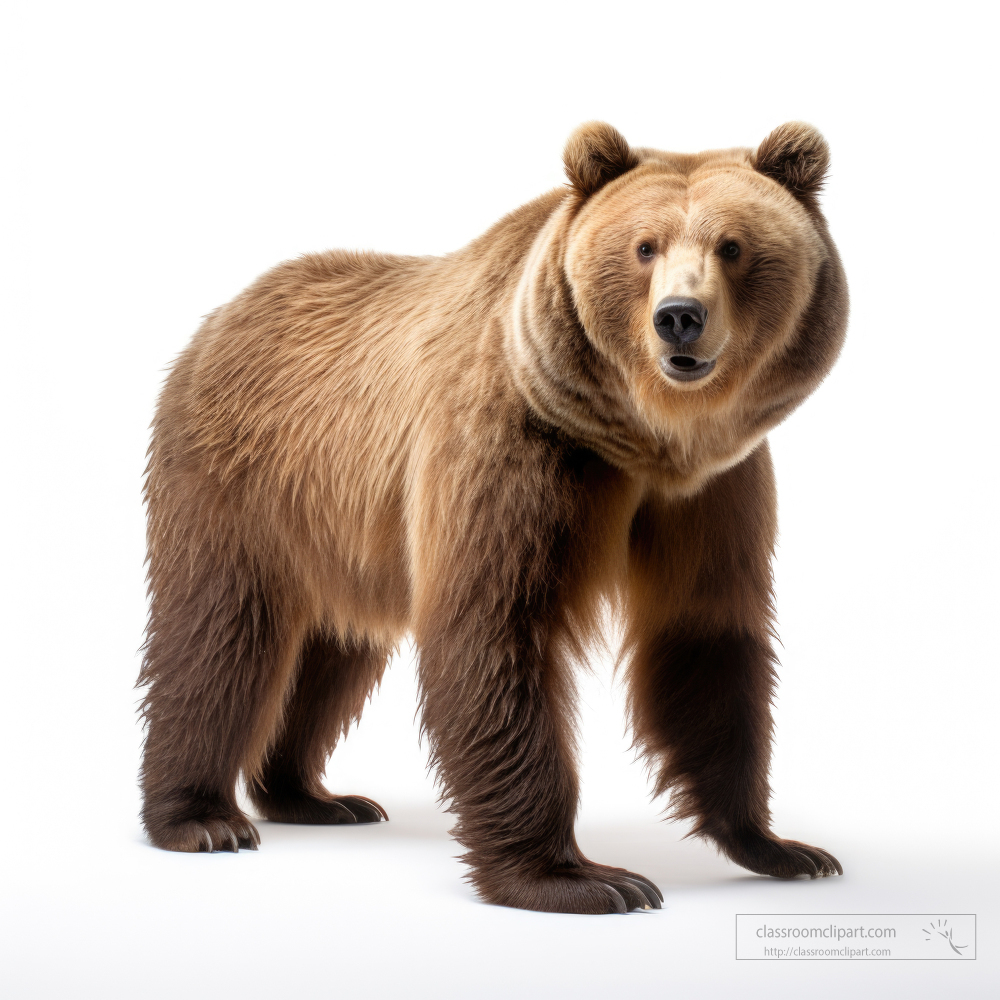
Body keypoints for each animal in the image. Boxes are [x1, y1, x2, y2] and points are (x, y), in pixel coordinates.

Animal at [139, 121, 848, 914]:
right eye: (644, 246)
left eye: (732, 245)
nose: (679, 319)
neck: (644, 439)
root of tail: (223, 312)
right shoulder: (514, 446)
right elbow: (496, 628)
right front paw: (584, 878)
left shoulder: (712, 492)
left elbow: (708, 633)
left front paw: (780, 847)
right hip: (236, 476)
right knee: (219, 634)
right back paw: (202, 818)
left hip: (339, 526)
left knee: (336, 646)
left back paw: (311, 795)